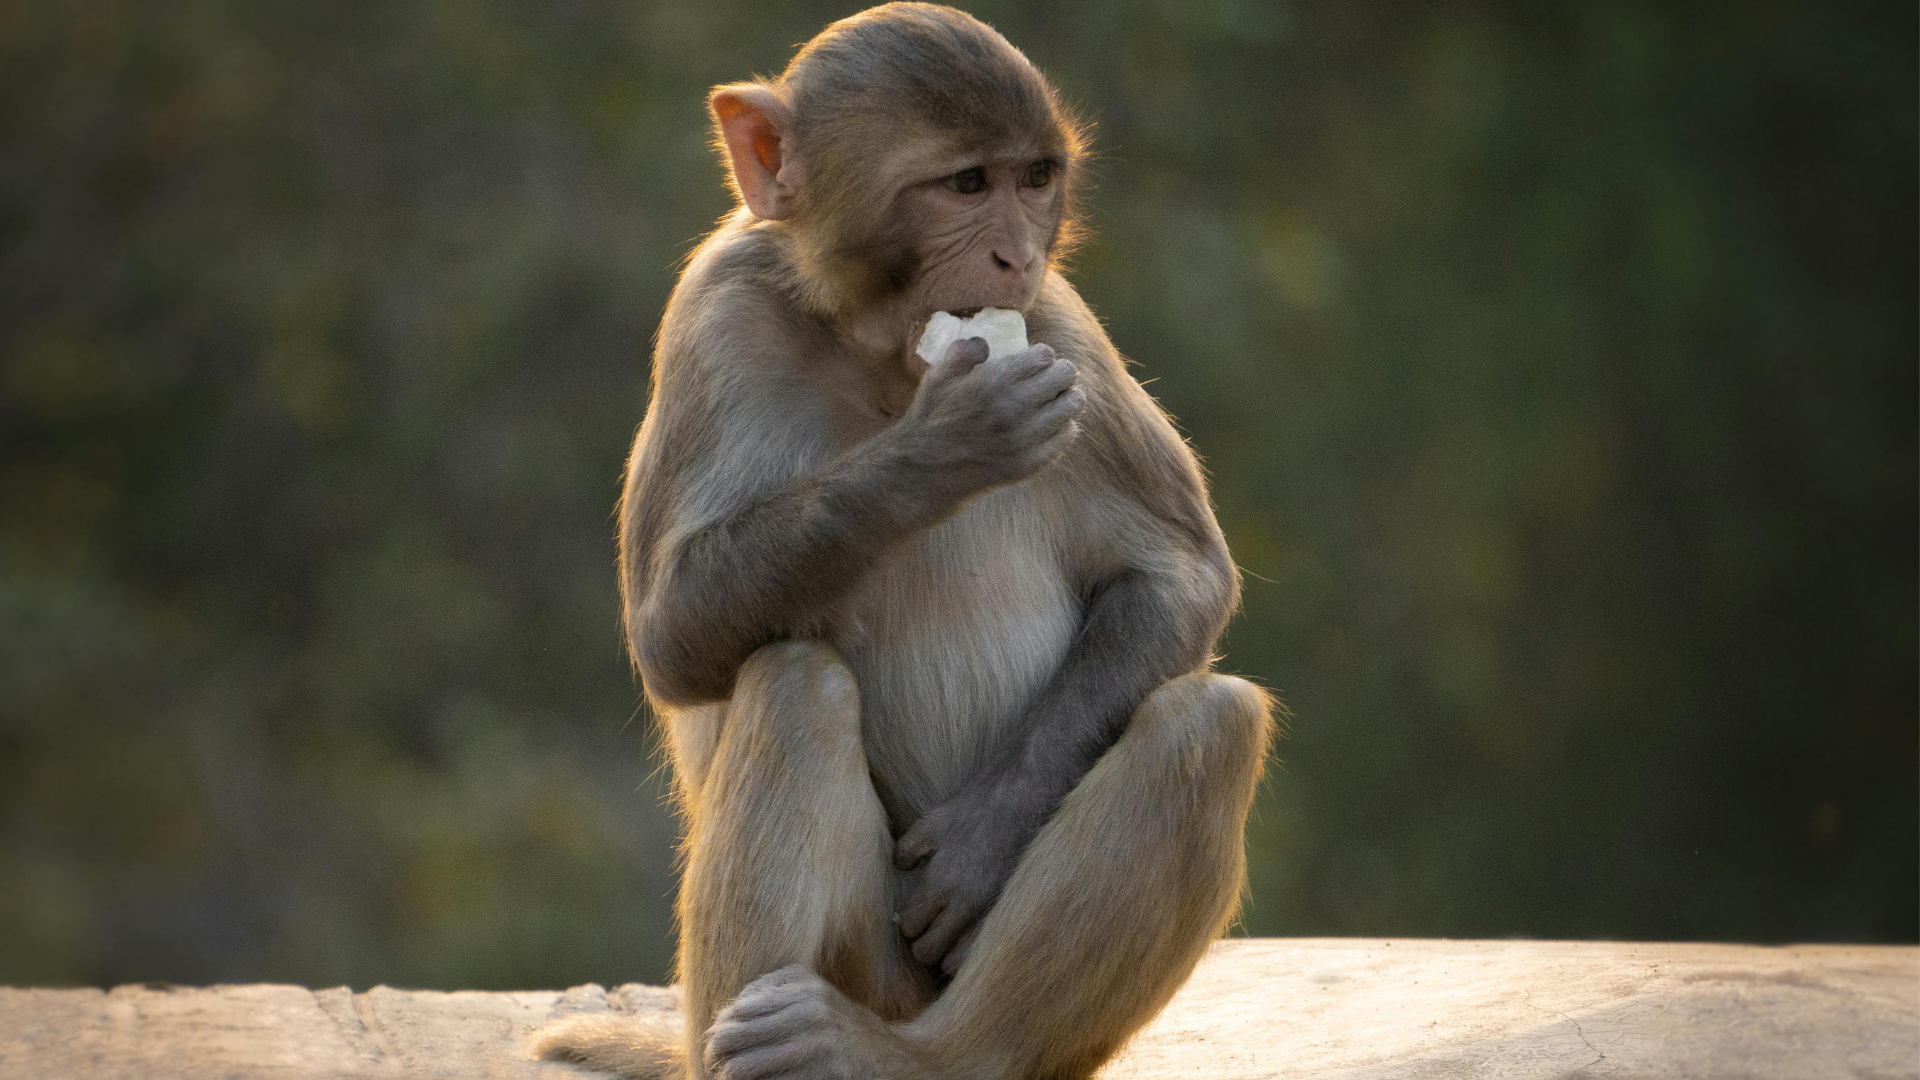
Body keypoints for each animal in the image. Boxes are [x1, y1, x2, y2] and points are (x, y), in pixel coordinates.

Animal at [530, 5, 1274, 1078]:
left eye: (1033, 179)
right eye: (965, 185)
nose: (1015, 258)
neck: (875, 348)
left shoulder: (1061, 324)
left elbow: (1176, 573)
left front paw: (981, 837)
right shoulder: (714, 313)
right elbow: (670, 635)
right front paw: (945, 444)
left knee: (1210, 727)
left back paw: (930, 1057)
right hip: (864, 960)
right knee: (795, 685)